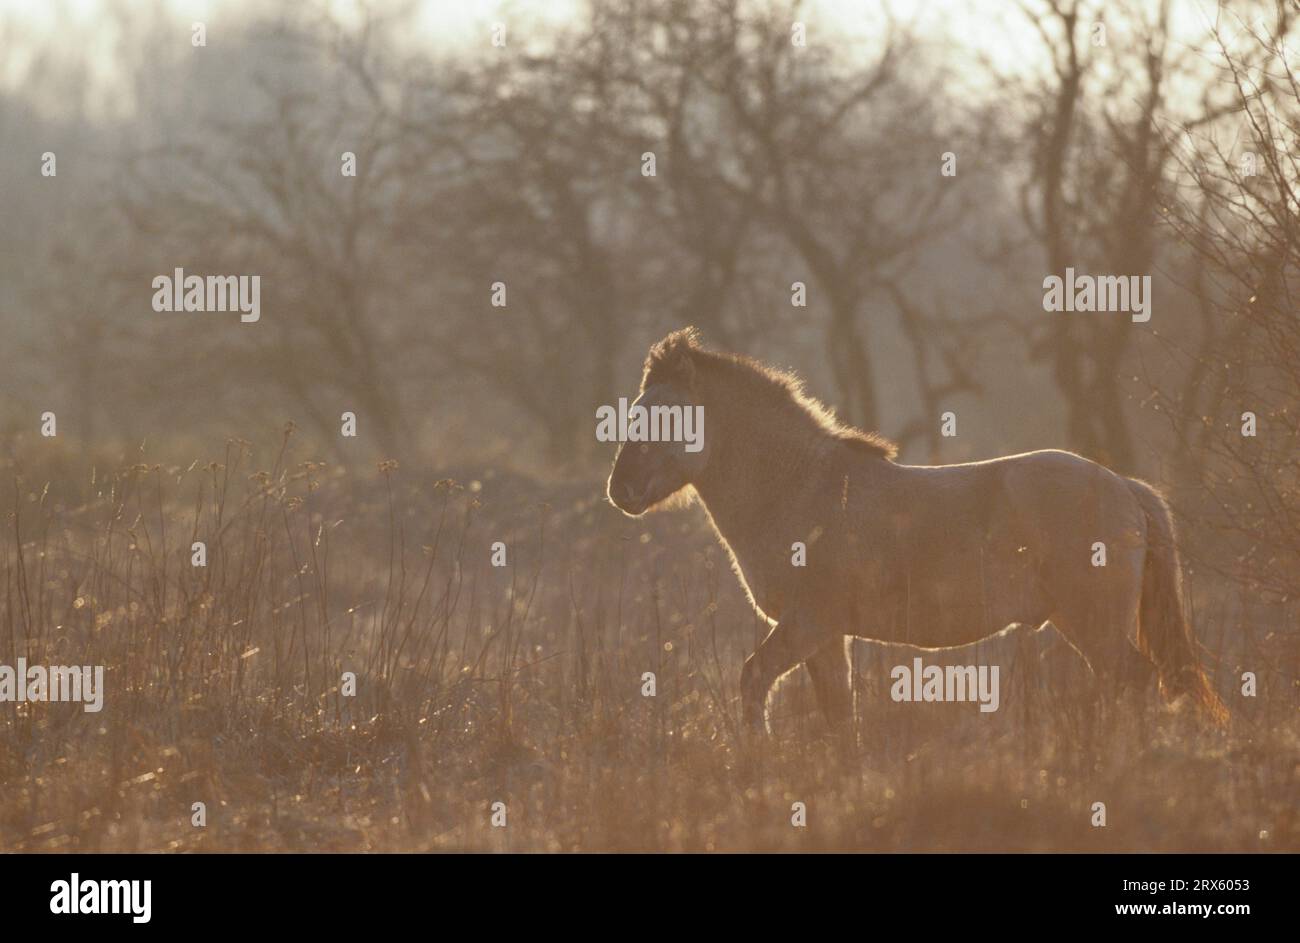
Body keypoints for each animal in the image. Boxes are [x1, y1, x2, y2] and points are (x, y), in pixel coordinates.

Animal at [605, 327, 1227, 734]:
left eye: (666, 417)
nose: (621, 489)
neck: (799, 488)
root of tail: (1123, 486)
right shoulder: (826, 637)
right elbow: (840, 720)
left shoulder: (808, 623)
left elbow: (754, 681)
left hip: (1093, 621)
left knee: (1135, 681)